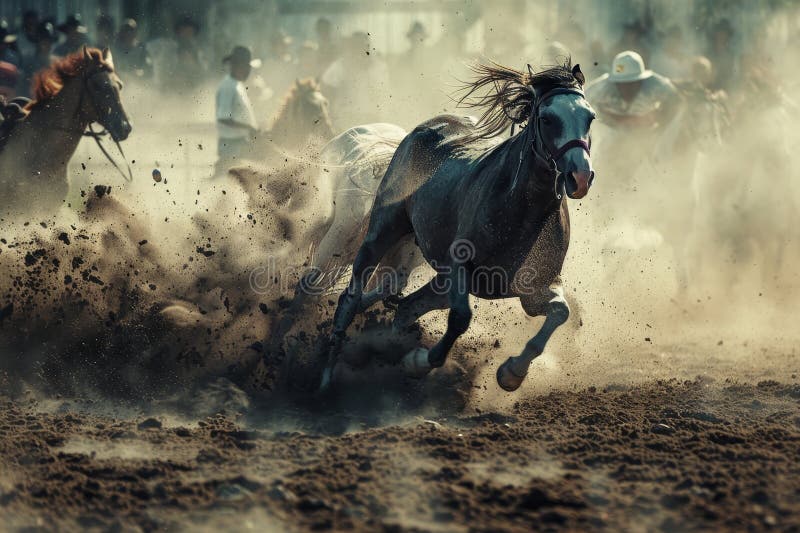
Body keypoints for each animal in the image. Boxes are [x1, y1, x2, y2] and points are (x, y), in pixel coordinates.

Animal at [321, 60, 596, 392]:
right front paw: (419, 361)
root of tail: (428, 127)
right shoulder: (459, 267)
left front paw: (512, 372)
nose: (580, 176)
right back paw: (326, 377)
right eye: (547, 118)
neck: (520, 214)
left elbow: (559, 312)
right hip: (384, 229)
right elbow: (461, 318)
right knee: (352, 297)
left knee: (407, 306)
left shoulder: (535, 287)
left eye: (590, 117)